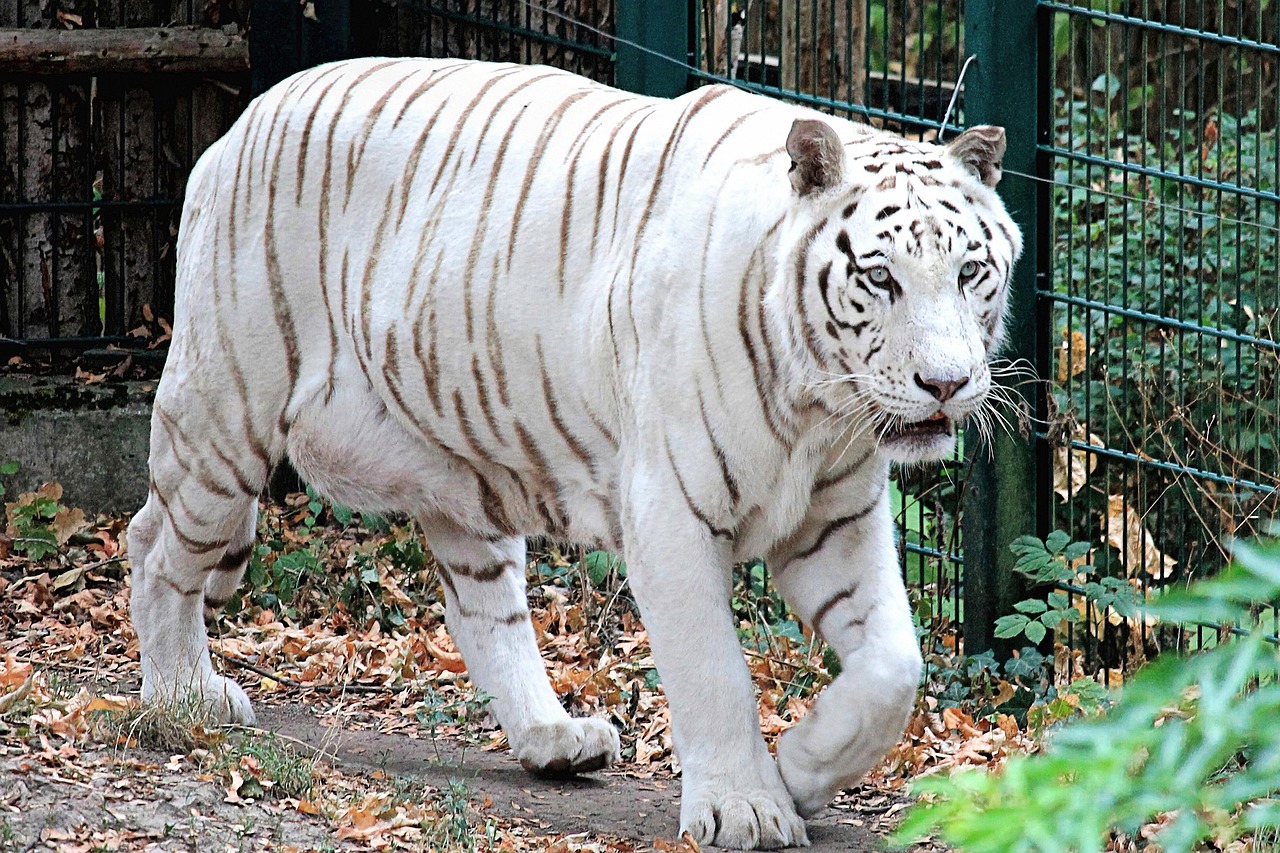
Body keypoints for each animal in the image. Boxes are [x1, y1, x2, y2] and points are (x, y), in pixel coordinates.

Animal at [125, 57, 1021, 849]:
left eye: (970, 271)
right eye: (880, 278)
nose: (946, 383)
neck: (819, 412)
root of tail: (239, 123)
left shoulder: (840, 517)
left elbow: (893, 666)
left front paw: (801, 770)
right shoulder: (672, 515)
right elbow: (714, 672)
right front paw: (746, 807)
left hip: (462, 462)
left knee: (481, 606)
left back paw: (554, 737)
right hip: (223, 412)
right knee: (158, 546)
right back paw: (184, 697)